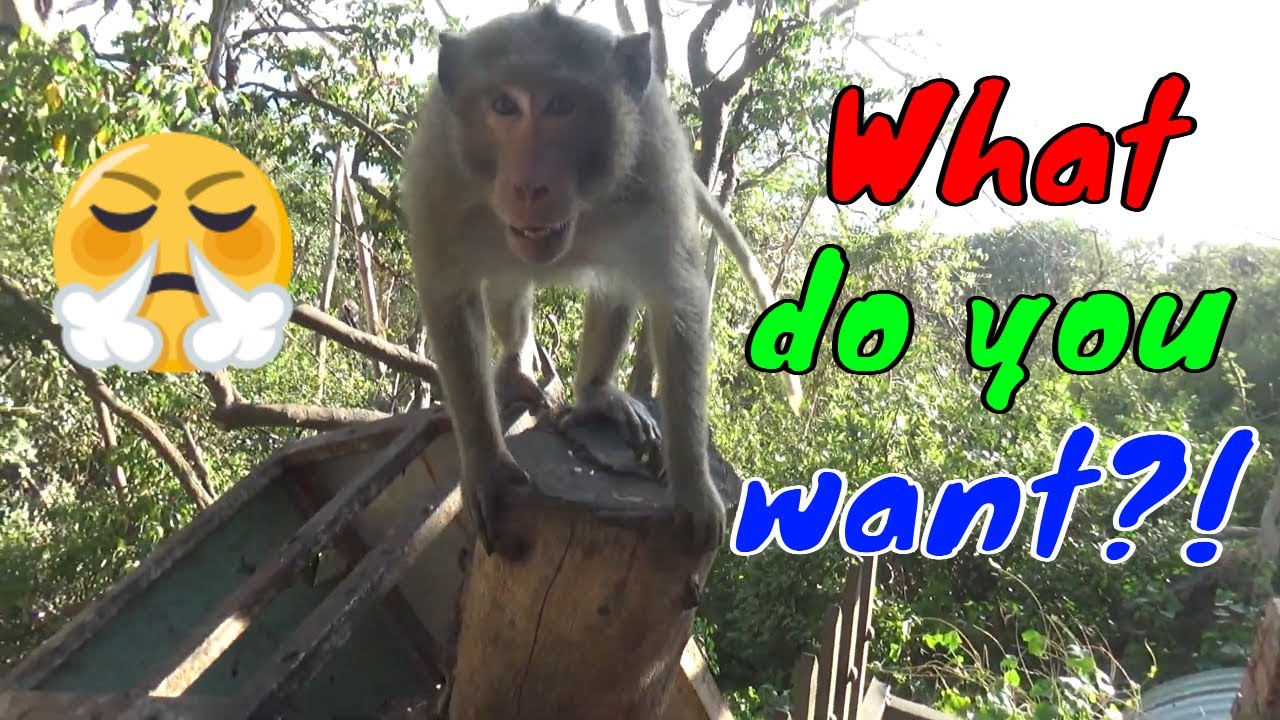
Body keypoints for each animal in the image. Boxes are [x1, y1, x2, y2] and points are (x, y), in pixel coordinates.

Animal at [401, 5, 800, 555]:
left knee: (617, 282)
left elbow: (676, 302)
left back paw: (595, 394)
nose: (530, 186)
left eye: (562, 105)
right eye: (504, 105)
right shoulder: (439, 174)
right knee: (507, 287)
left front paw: (692, 484)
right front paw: (486, 466)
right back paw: (515, 368)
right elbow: (449, 296)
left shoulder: (654, 163)